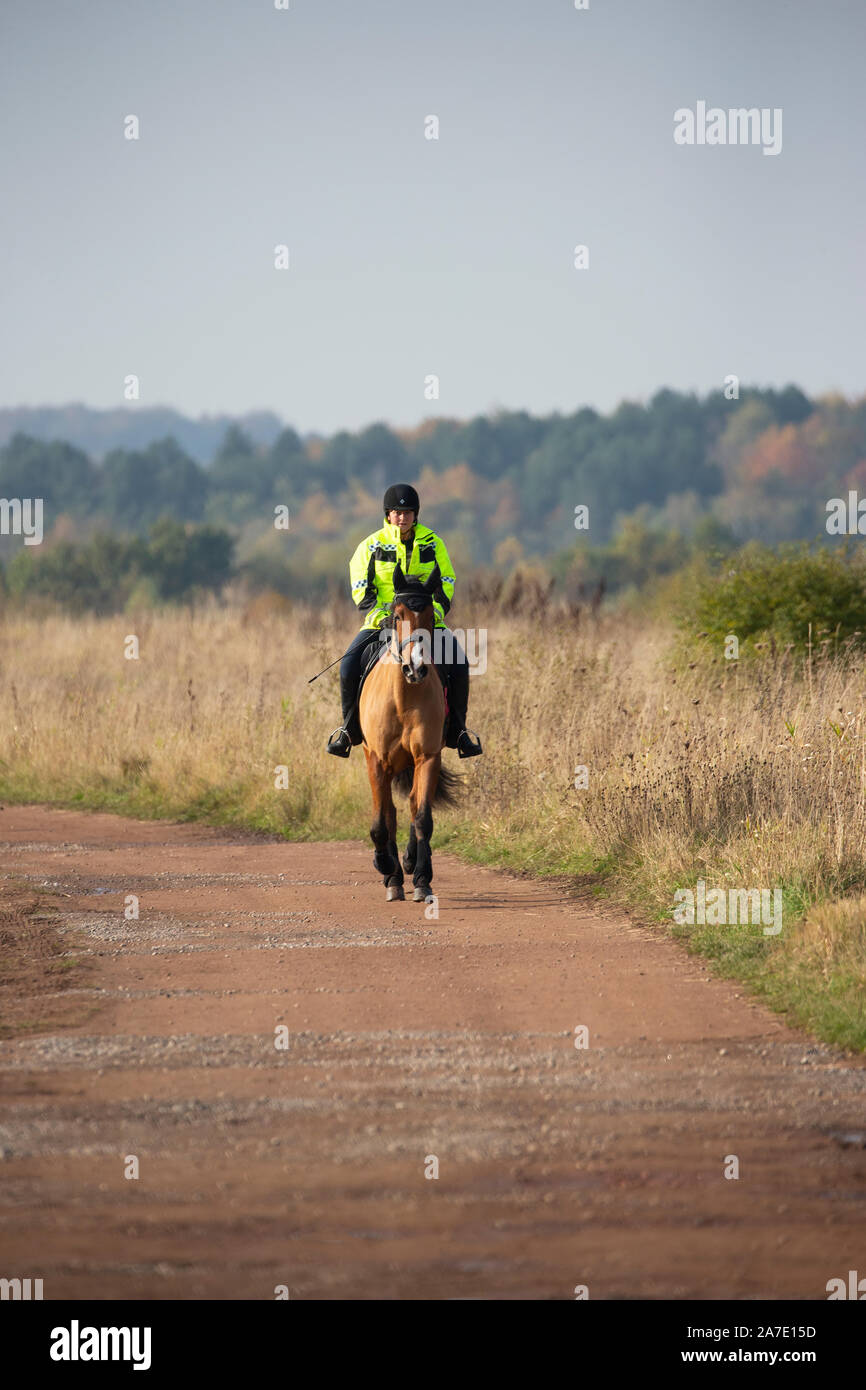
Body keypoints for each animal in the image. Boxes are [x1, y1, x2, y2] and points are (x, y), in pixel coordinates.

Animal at [359, 561, 459, 903]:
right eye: (398, 614)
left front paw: (422, 877)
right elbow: (381, 822)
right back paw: (392, 874)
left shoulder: (427, 756)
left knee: (414, 805)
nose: (415, 668)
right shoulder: (377, 759)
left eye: (429, 615)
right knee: (389, 813)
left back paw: (409, 863)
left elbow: (422, 818)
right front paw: (386, 868)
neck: (403, 697)